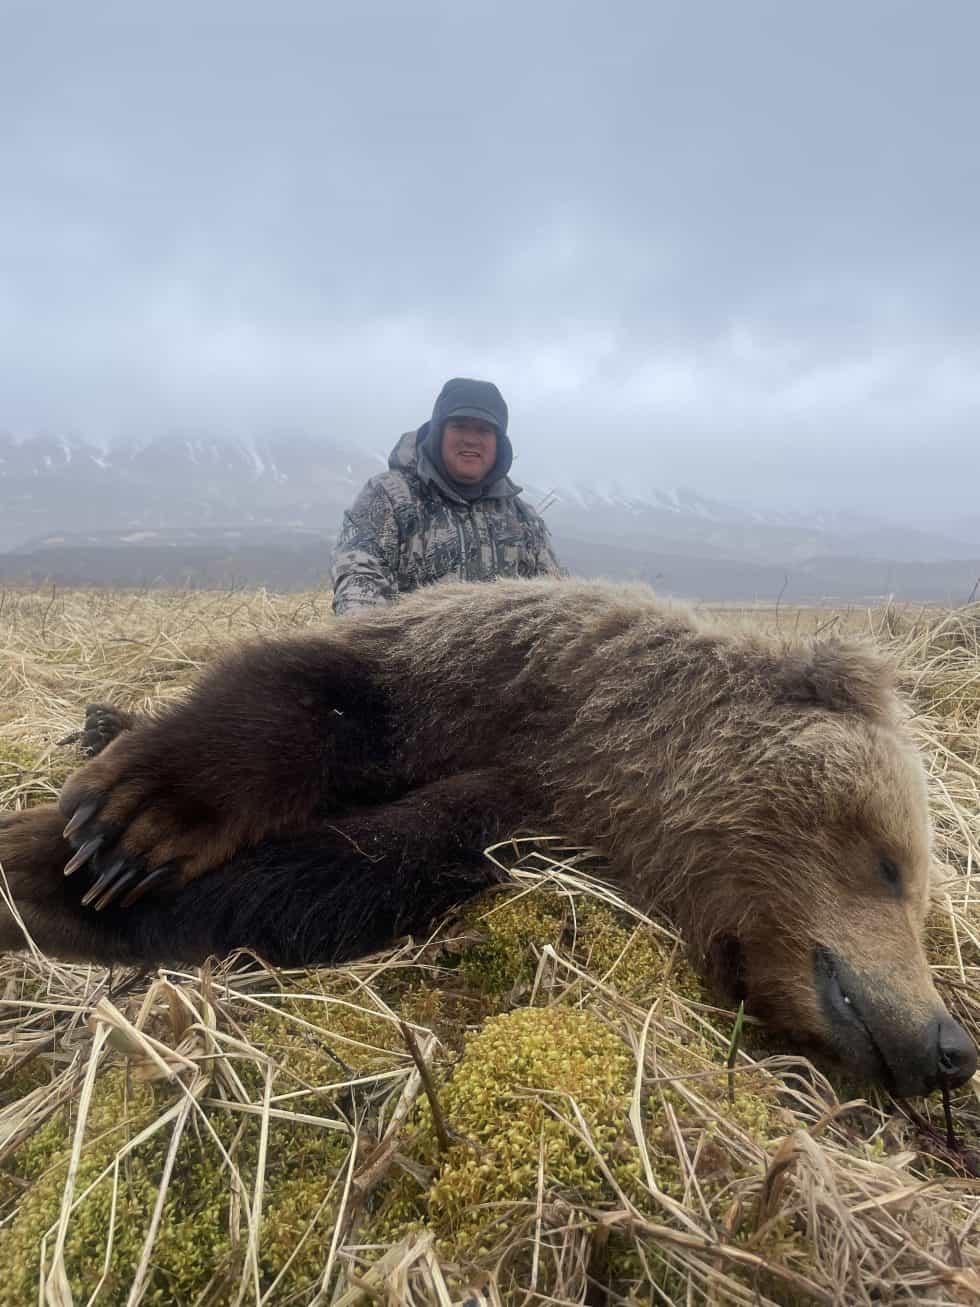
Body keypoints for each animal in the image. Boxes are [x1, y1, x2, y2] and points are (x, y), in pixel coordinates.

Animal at [0, 577, 974, 1099]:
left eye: (920, 892)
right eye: (891, 864)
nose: (950, 1045)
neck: (592, 748)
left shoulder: (523, 817)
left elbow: (330, 878)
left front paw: (55, 883)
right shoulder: (483, 665)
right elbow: (305, 698)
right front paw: (108, 830)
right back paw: (101, 725)